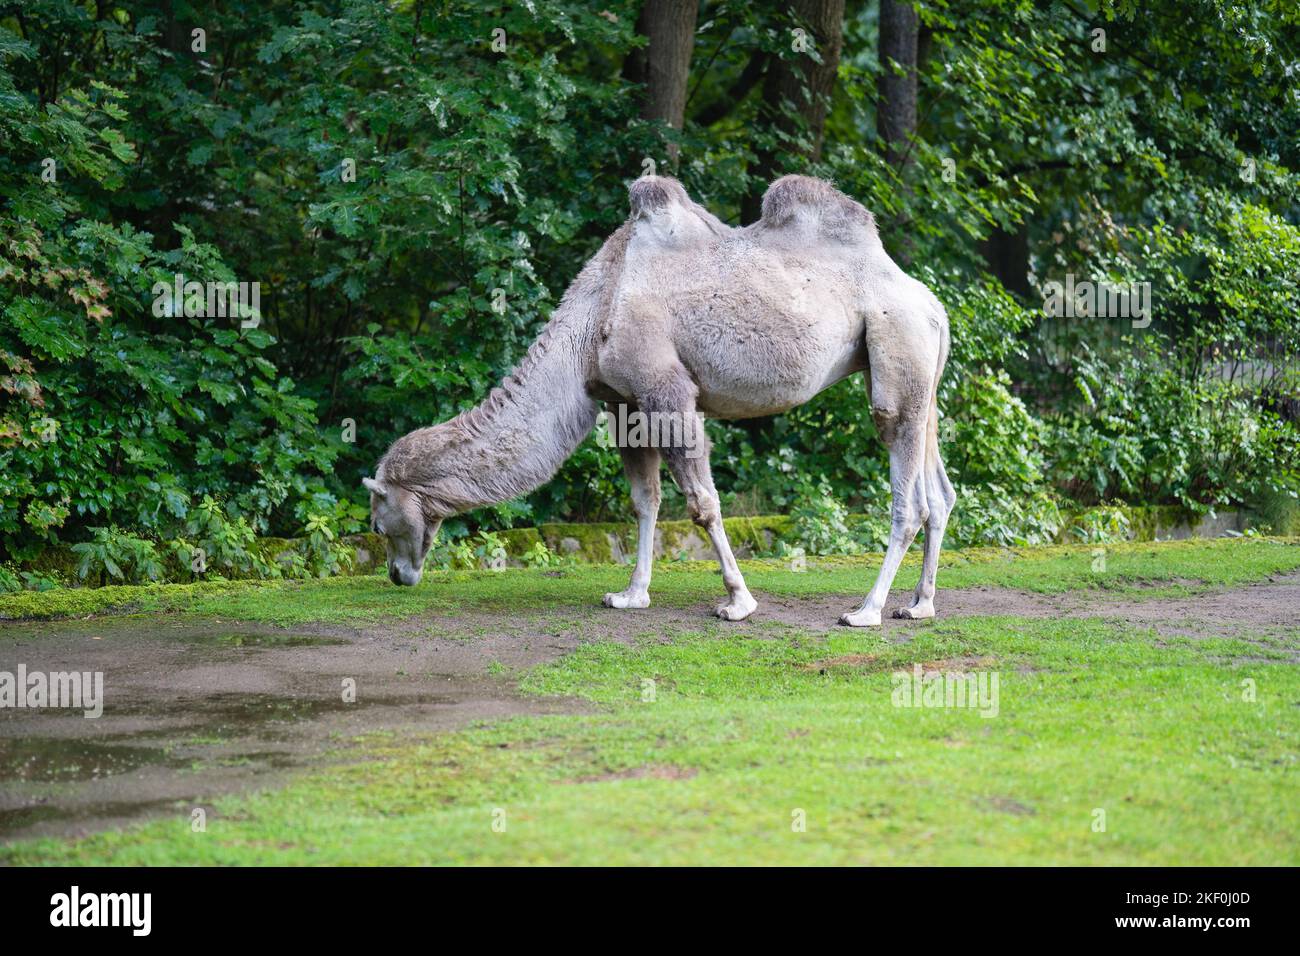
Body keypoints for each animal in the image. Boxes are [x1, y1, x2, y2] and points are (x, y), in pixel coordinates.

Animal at [365, 174, 954, 626]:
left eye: (377, 522)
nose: (396, 575)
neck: (593, 315)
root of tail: (931, 302)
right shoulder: (624, 404)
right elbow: (643, 502)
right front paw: (631, 594)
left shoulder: (666, 389)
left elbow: (701, 504)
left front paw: (738, 601)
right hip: (920, 374)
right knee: (939, 491)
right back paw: (918, 606)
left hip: (895, 348)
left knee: (909, 491)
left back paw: (867, 610)